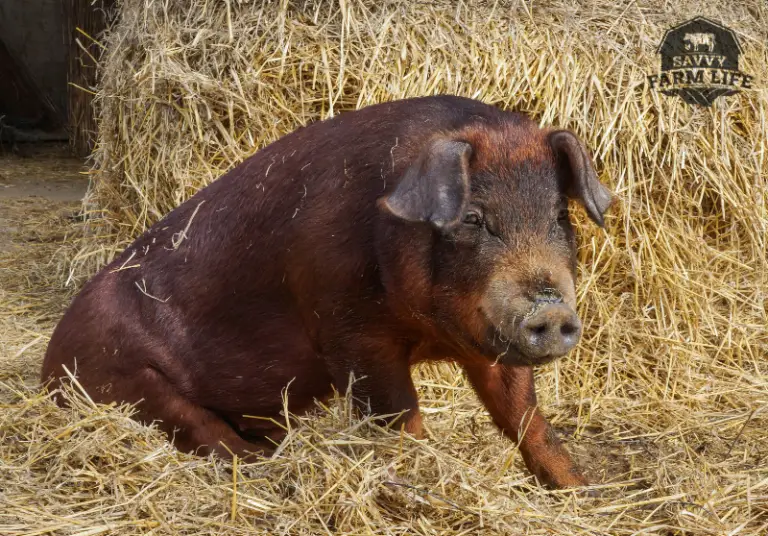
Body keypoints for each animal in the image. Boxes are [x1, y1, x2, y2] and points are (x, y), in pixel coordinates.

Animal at [41, 95, 613, 489]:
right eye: (473, 218)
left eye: (560, 217)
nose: (551, 309)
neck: (429, 334)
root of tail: (48, 363)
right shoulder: (349, 331)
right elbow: (398, 417)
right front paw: (418, 482)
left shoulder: (491, 344)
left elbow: (526, 418)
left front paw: (581, 490)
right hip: (132, 381)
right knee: (210, 438)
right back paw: (266, 470)